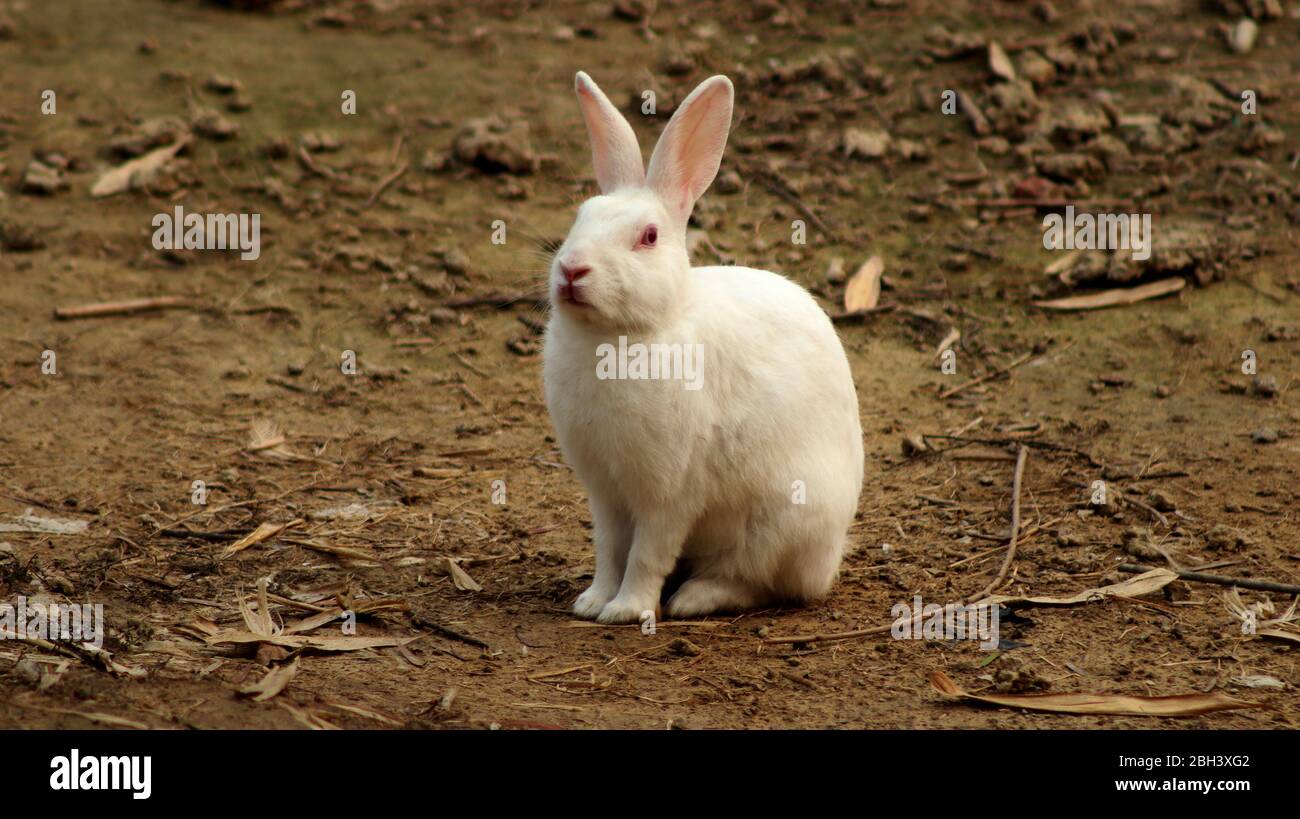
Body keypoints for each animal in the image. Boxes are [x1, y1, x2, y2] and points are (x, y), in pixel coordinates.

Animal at [543, 71, 864, 624]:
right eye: (580, 217)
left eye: (648, 237)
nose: (572, 270)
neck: (627, 333)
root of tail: (829, 560)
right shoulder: (605, 494)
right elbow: (609, 550)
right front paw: (591, 602)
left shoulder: (668, 496)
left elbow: (646, 555)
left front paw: (627, 610)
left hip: (779, 525)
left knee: (761, 583)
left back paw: (694, 598)